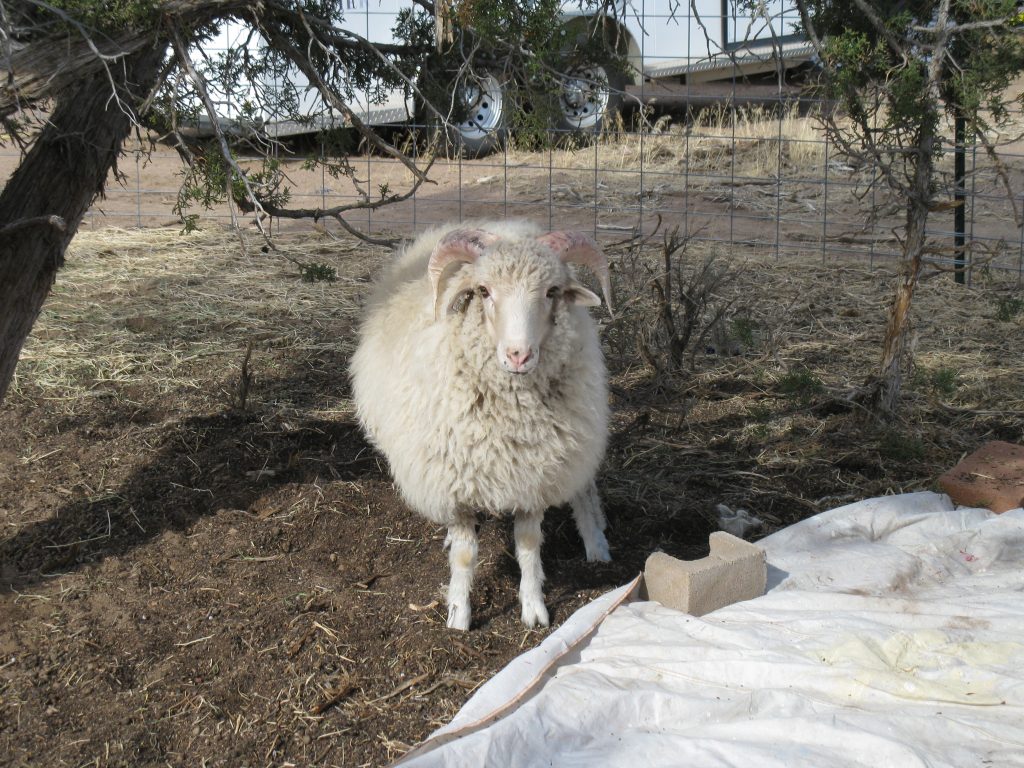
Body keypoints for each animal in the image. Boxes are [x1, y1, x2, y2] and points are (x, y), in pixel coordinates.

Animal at [350, 219, 613, 630]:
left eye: (552, 291)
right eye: (483, 291)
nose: (518, 355)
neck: (512, 416)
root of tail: (506, 225)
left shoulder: (535, 476)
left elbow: (528, 547)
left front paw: (534, 608)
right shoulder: (454, 483)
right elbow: (464, 555)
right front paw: (459, 613)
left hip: (579, 433)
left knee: (583, 484)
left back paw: (597, 545)